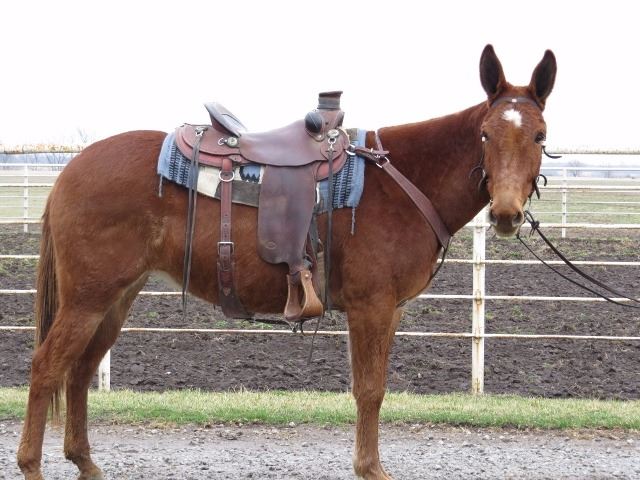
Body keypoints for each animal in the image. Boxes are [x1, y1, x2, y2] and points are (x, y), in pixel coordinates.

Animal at [17, 44, 556, 480]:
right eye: (485, 134)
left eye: (539, 135)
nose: (506, 213)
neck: (401, 179)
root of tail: (70, 170)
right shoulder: (372, 307)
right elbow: (369, 390)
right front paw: (370, 468)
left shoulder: (390, 310)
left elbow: (374, 387)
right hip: (88, 298)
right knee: (47, 366)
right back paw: (31, 464)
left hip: (115, 298)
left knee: (80, 369)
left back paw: (85, 462)